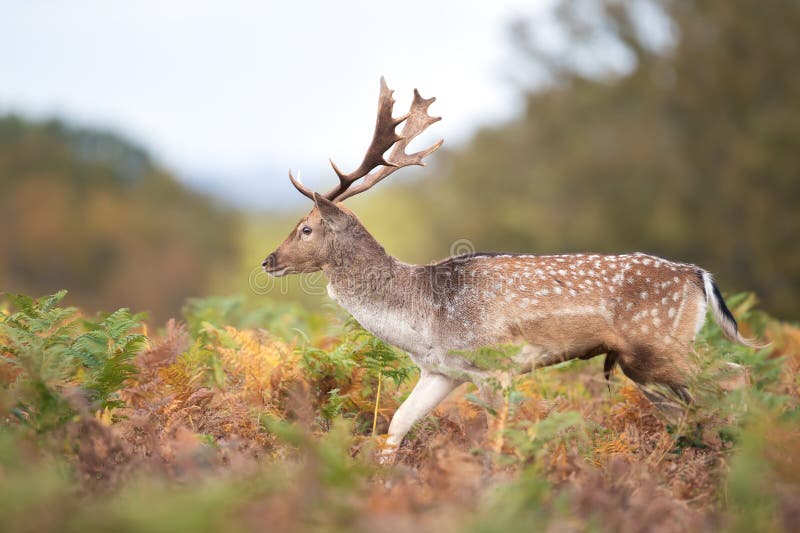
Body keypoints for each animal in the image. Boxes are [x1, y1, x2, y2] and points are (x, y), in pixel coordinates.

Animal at [262, 77, 759, 460]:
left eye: (305, 228)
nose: (268, 260)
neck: (421, 316)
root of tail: (698, 276)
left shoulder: (494, 365)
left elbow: (496, 438)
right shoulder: (441, 370)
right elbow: (397, 423)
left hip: (657, 344)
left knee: (735, 374)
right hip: (648, 363)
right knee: (696, 402)